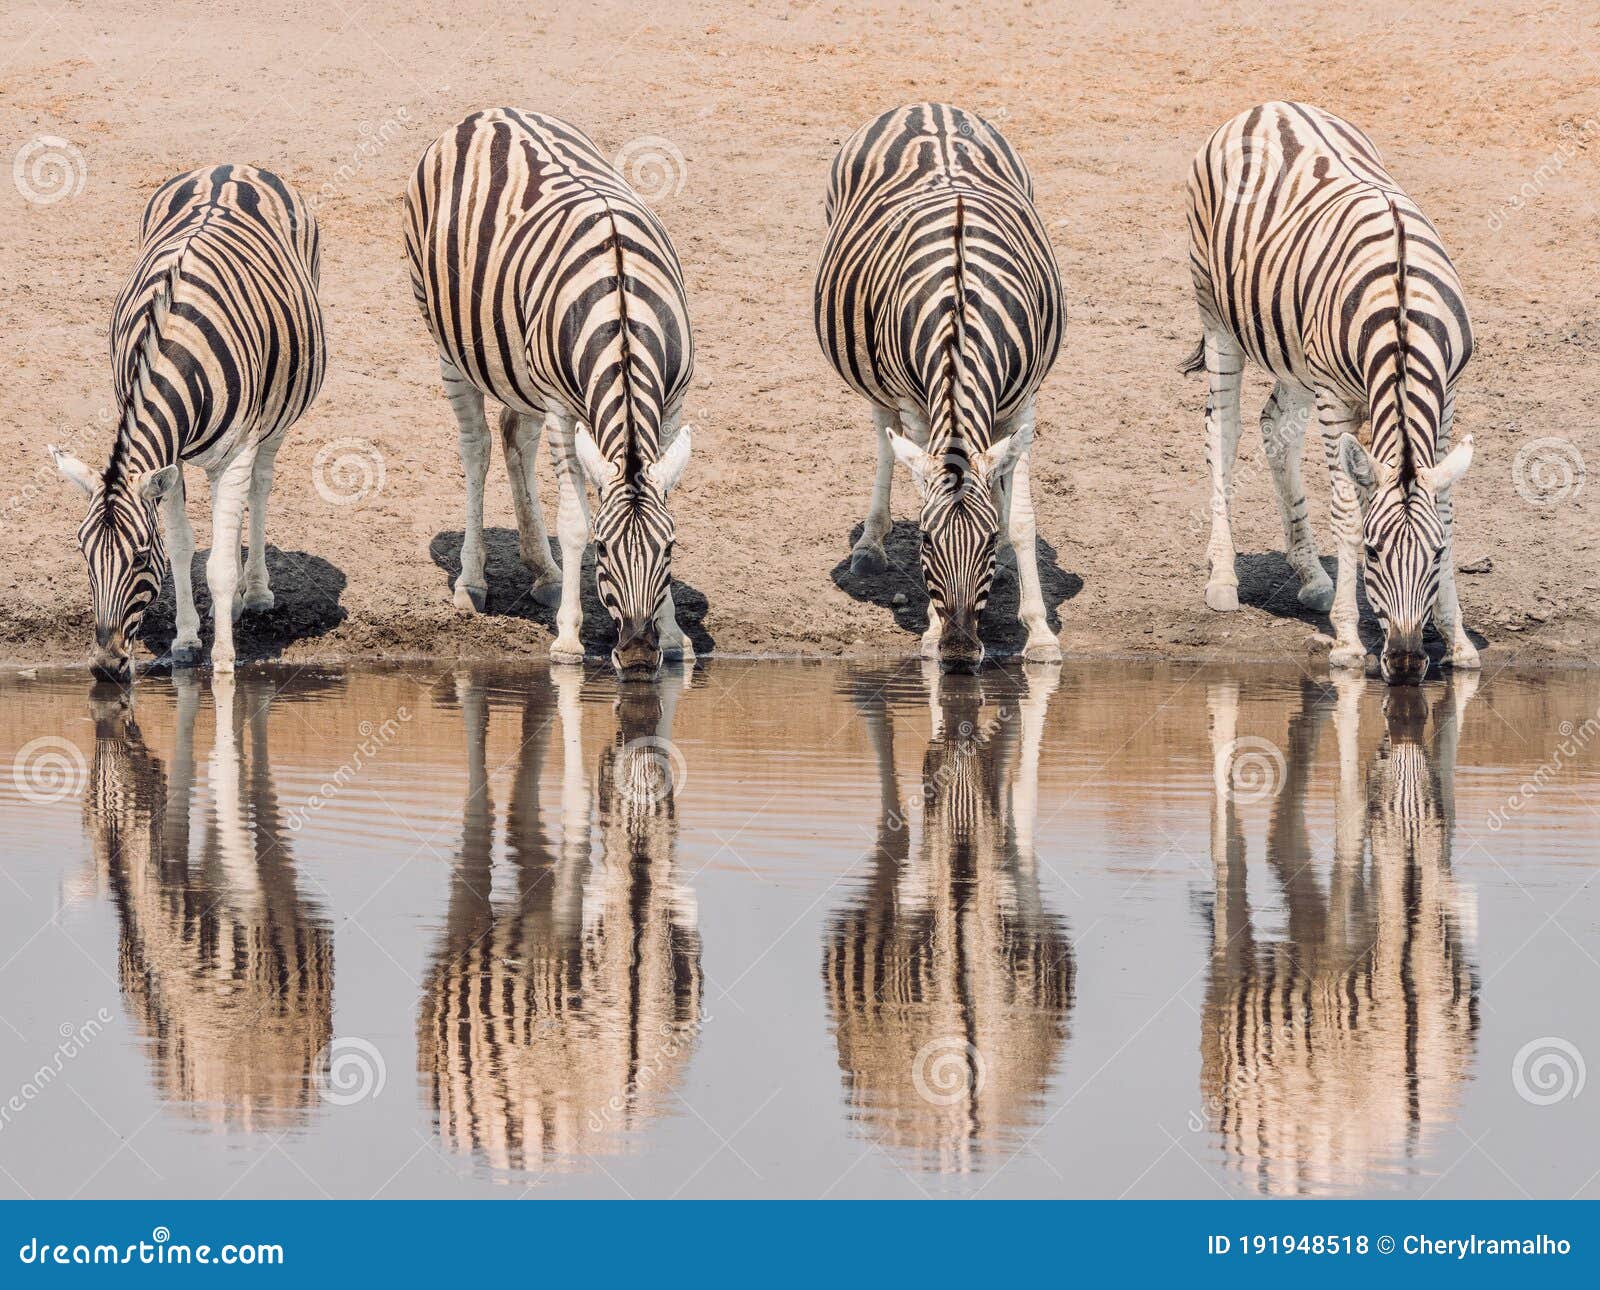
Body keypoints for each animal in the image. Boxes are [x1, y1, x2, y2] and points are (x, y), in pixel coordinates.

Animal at [51, 165, 326, 680]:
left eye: (139, 556)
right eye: (82, 553)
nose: (105, 666)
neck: (175, 346)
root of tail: (230, 167)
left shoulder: (238, 447)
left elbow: (218, 565)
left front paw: (223, 662)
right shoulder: (170, 458)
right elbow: (182, 545)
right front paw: (185, 639)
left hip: (275, 420)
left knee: (259, 488)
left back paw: (255, 592)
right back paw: (230, 606)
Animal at [404, 109, 695, 677]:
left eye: (670, 549)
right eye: (602, 551)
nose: (637, 655)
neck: (622, 312)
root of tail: (489, 113)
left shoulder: (672, 402)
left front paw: (675, 638)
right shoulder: (564, 408)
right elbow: (574, 521)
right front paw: (567, 640)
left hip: (521, 369)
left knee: (515, 436)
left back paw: (545, 571)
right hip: (449, 345)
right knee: (477, 449)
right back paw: (471, 583)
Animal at [815, 104, 1066, 671]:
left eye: (986, 540)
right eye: (927, 541)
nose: (958, 651)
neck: (960, 314)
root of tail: (927, 105)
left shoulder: (1024, 405)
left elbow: (1022, 518)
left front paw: (1039, 632)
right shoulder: (914, 406)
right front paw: (930, 633)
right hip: (874, 372)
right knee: (883, 437)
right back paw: (871, 544)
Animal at [1185, 102, 1477, 684]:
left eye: (1435, 556)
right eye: (1373, 554)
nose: (1406, 664)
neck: (1401, 310)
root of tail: (1268, 105)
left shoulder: (1448, 396)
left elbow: (1447, 510)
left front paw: (1457, 639)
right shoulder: (1335, 401)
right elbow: (1345, 511)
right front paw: (1346, 640)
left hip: (1294, 355)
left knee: (1273, 427)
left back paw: (1313, 575)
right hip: (1217, 316)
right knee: (1222, 434)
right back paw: (1223, 577)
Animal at [1200, 675, 1478, 1193]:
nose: (1393, 739)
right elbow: (1347, 823)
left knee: (1280, 850)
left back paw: (1313, 704)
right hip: (1231, 1001)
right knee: (1229, 859)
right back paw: (1226, 703)